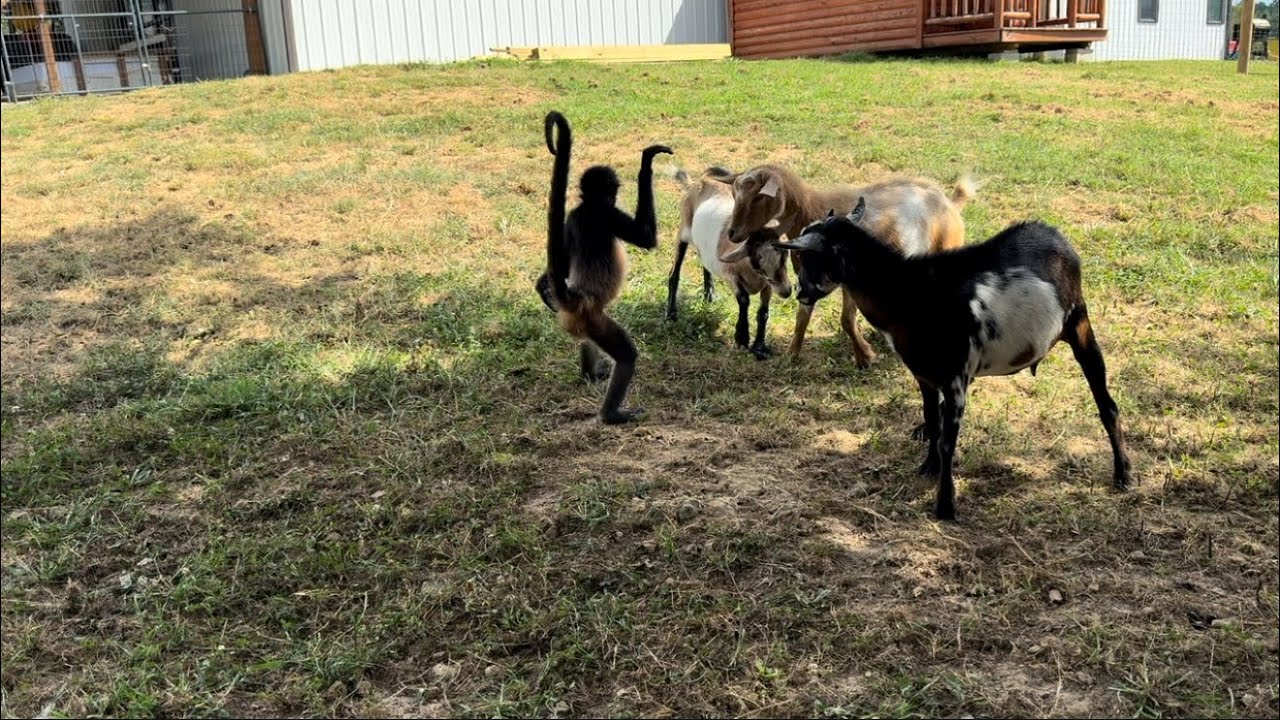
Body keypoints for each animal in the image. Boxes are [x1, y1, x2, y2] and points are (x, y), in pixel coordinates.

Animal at [535, 111, 672, 424]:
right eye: (613, 190)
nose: (617, 193)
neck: (588, 205)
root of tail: (577, 297)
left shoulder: (573, 217)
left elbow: (561, 267)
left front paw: (543, 284)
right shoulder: (607, 214)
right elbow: (646, 239)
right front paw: (647, 162)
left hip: (584, 321)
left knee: (586, 342)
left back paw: (590, 374)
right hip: (595, 320)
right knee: (627, 355)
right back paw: (611, 414)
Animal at [665, 166, 793, 358]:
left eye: (784, 255)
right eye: (756, 260)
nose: (786, 291)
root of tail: (701, 180)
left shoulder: (768, 285)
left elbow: (763, 312)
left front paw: (759, 347)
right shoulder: (729, 274)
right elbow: (744, 299)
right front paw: (742, 336)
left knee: (705, 262)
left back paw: (709, 294)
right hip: (684, 231)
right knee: (675, 272)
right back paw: (671, 314)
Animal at [716, 165, 973, 366]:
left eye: (759, 196)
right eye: (734, 193)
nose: (732, 233)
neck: (815, 209)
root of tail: (949, 202)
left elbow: (847, 320)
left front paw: (866, 357)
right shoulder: (805, 282)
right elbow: (803, 317)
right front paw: (791, 355)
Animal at [777, 199, 1133, 521]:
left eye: (807, 255)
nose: (801, 294)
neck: (907, 291)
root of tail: (1056, 236)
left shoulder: (955, 378)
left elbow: (948, 441)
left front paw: (945, 505)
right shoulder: (924, 375)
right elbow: (933, 421)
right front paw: (928, 467)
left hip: (1080, 326)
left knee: (1107, 404)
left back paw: (1124, 474)